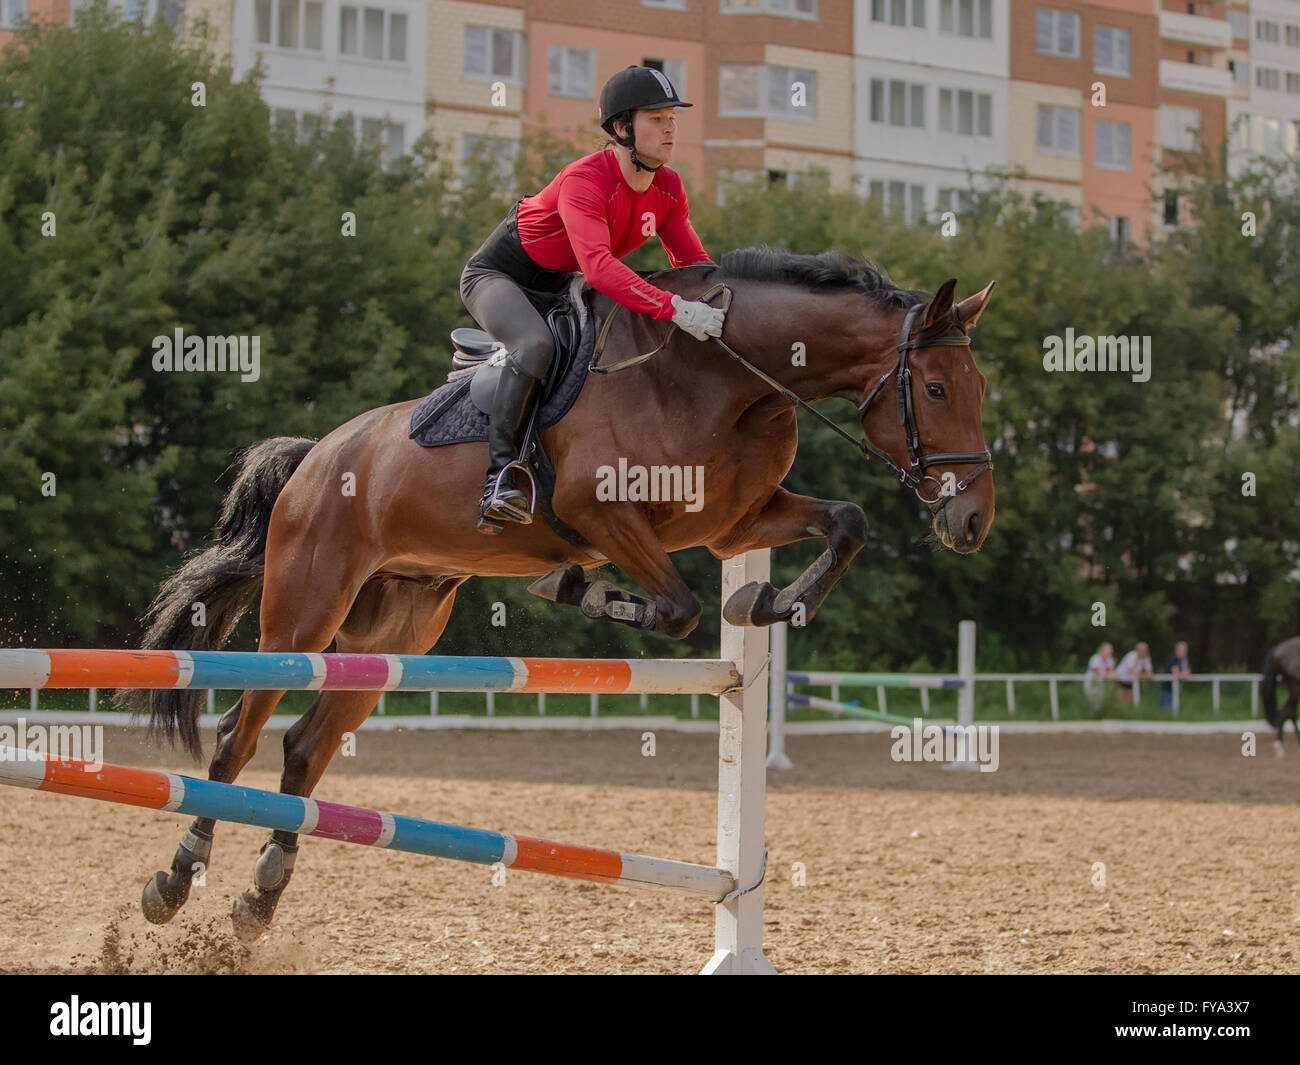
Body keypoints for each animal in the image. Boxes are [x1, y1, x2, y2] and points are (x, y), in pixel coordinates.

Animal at [120, 246, 998, 937]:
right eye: (937, 389)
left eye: (977, 388)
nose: (973, 520)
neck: (719, 376)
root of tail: (314, 455)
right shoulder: (603, 512)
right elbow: (676, 607)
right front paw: (584, 588)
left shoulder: (734, 526)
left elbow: (846, 522)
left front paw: (771, 605)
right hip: (304, 615)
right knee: (237, 736)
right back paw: (175, 879)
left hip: (393, 632)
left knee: (305, 746)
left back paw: (261, 896)